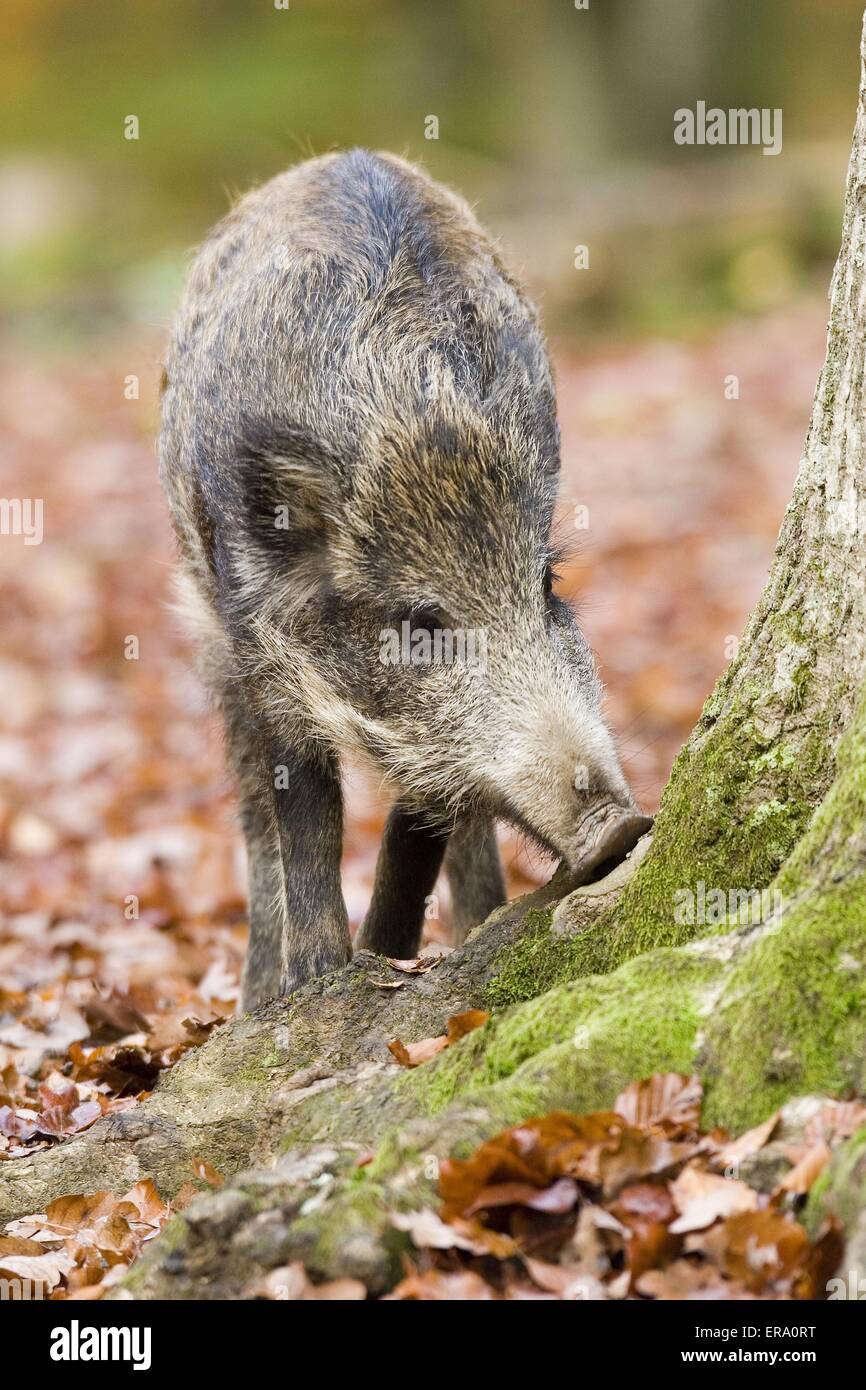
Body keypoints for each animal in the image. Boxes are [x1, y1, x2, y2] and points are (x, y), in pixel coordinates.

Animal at [158, 150, 651, 1012]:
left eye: (546, 585)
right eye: (422, 622)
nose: (621, 826)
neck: (419, 422)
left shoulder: (434, 744)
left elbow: (421, 825)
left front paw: (387, 956)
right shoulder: (266, 652)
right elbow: (307, 819)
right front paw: (317, 985)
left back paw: (481, 920)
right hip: (210, 635)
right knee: (252, 818)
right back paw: (255, 999)